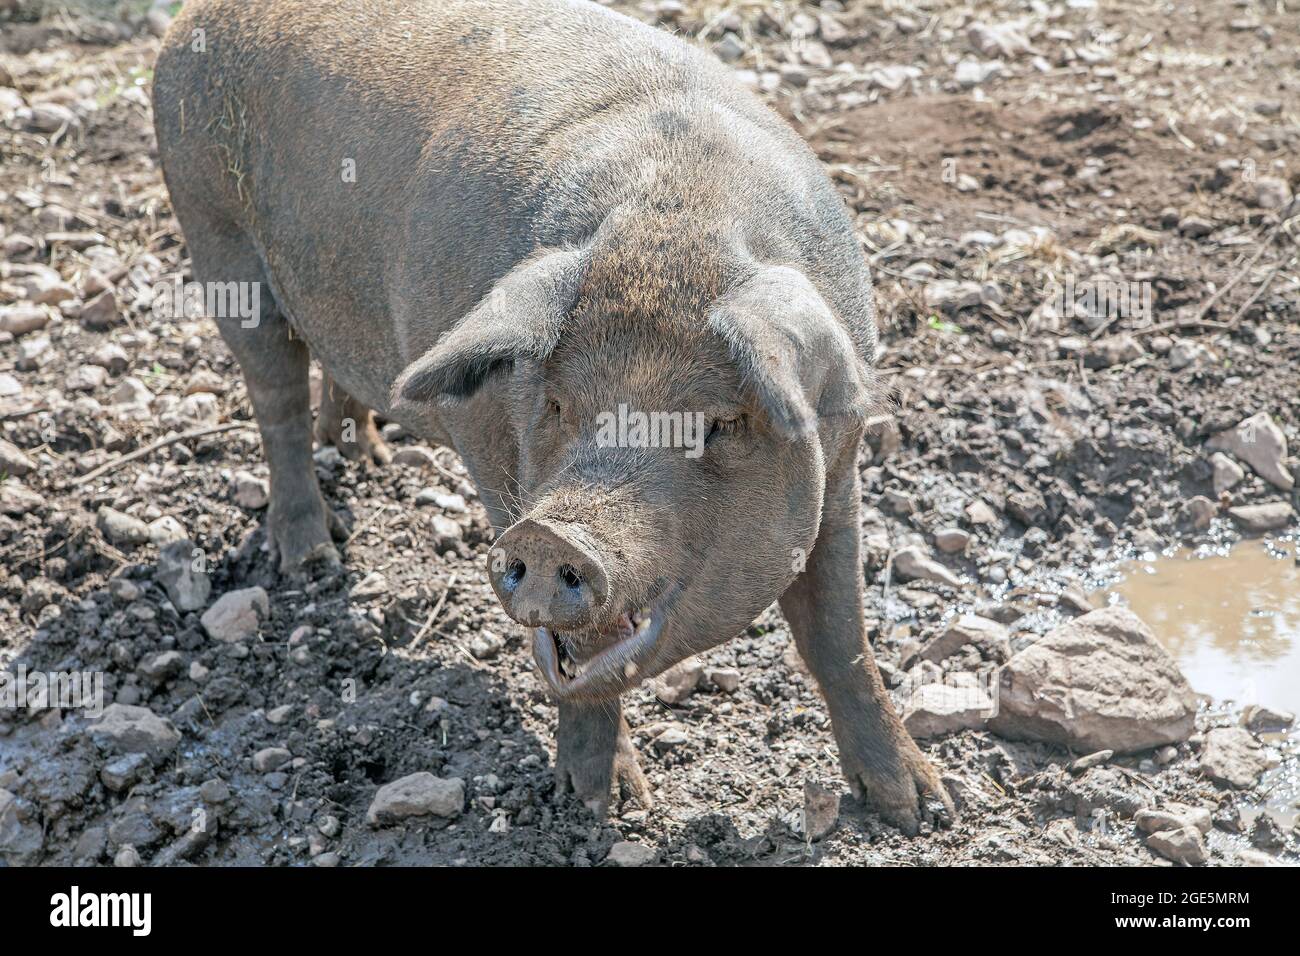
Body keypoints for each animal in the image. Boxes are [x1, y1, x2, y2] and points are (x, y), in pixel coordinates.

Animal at [152, 0, 952, 834]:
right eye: (561, 403)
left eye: (718, 423)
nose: (550, 535)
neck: (678, 217)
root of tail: (189, 22)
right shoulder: (491, 455)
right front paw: (600, 807)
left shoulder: (844, 459)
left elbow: (838, 636)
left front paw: (921, 808)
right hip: (215, 234)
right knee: (273, 392)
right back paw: (312, 556)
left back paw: (369, 461)